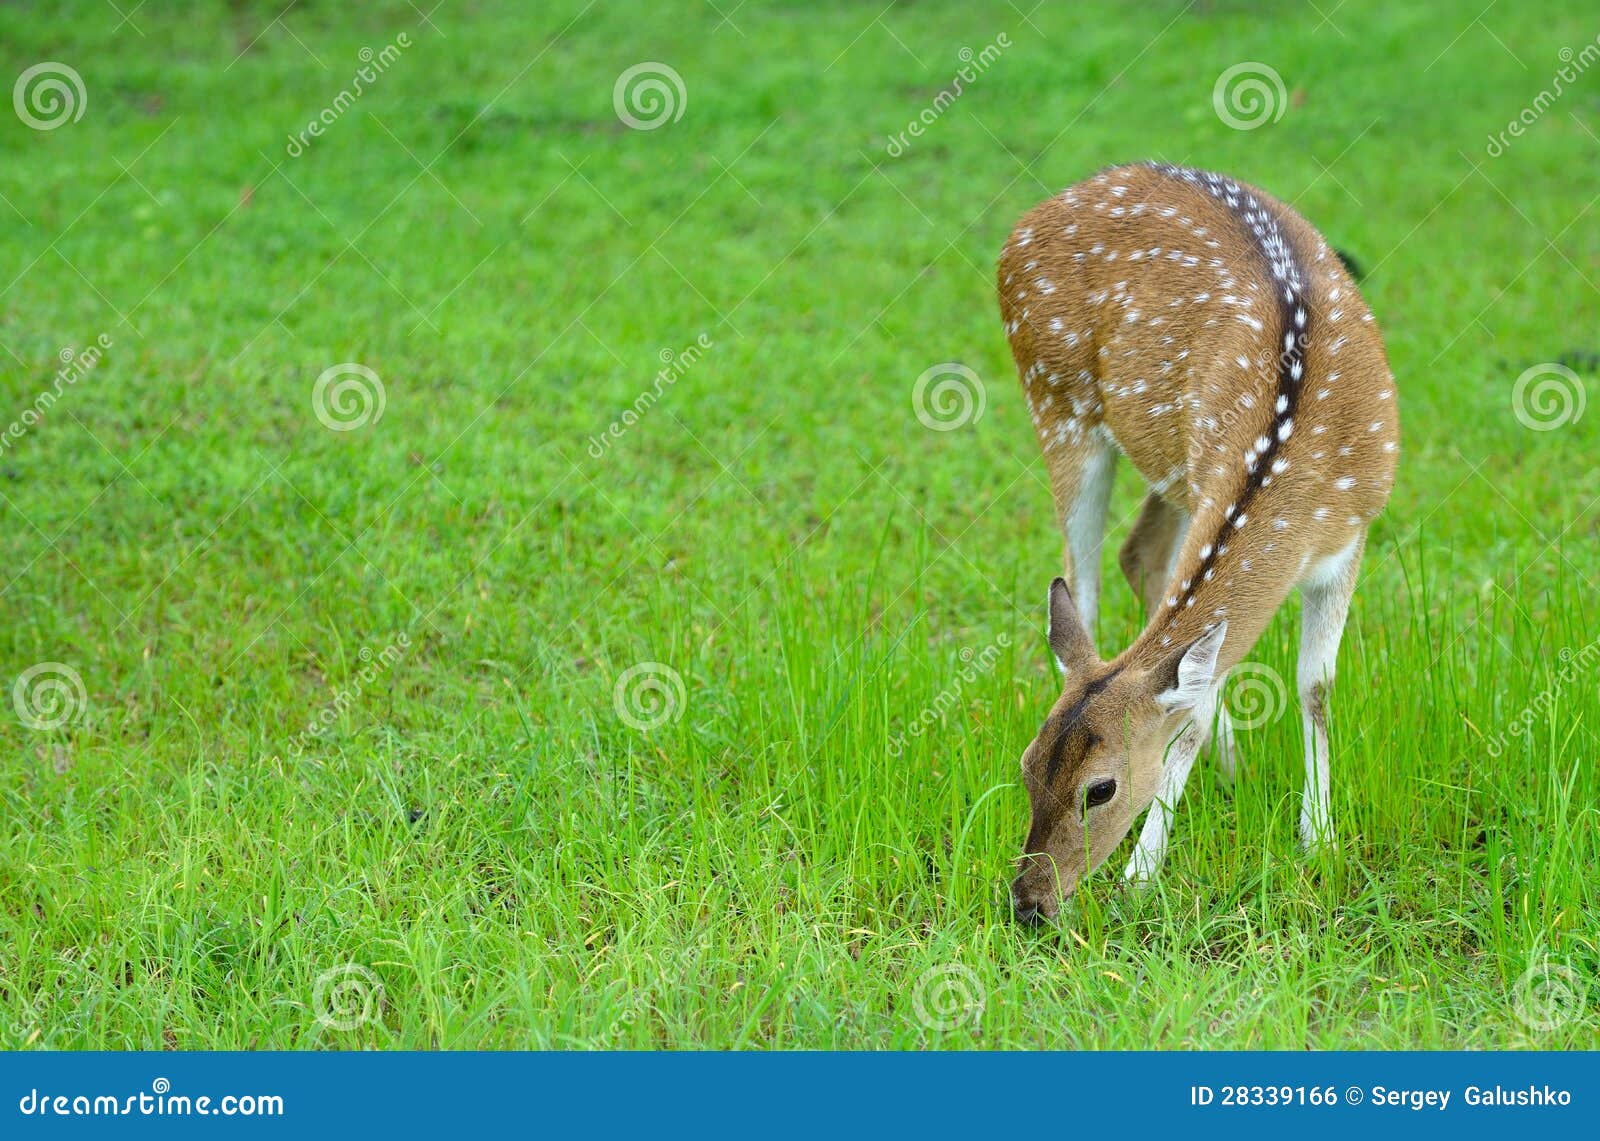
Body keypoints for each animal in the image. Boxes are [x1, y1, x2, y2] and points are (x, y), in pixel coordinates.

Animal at [997, 163, 1398, 923]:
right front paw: (1143, 872)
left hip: (1167, 465)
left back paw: (1234, 767)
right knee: (1086, 584)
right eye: (1026, 767)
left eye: (1101, 787)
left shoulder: (1354, 536)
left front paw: (1318, 838)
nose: (1029, 902)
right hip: (1056, 398)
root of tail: (1030, 218)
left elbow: (1314, 685)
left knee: (1140, 557)